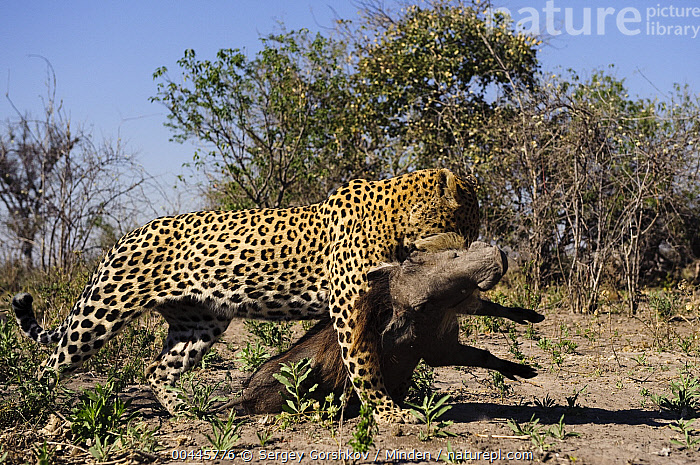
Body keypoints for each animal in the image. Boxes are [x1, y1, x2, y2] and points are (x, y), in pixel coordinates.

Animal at [12, 168, 479, 422]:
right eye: (468, 220)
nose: (476, 243)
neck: (397, 220)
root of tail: (126, 235)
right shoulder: (350, 304)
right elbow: (363, 361)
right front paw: (386, 412)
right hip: (103, 311)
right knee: (50, 364)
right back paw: (41, 409)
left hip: (200, 323)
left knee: (157, 369)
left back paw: (187, 412)